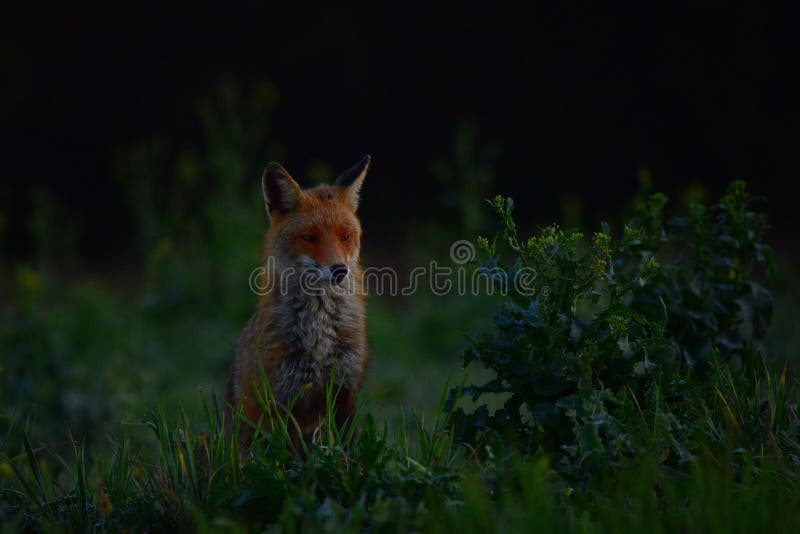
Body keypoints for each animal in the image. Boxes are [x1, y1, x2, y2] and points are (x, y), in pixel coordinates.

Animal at [225, 155, 371, 452]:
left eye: (345, 236)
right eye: (310, 237)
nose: (339, 270)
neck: (320, 328)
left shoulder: (345, 389)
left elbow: (346, 448)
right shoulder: (283, 399)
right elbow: (292, 456)